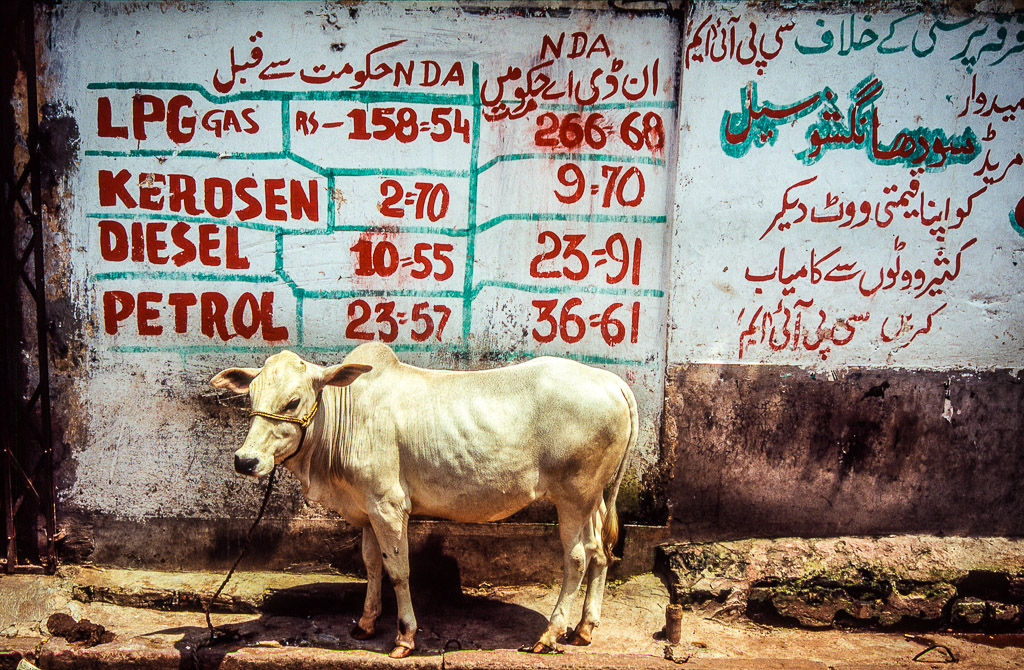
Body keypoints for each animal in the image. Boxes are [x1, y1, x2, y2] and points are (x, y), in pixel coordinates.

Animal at [210, 344, 634, 659]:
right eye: (251, 397)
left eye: (293, 401)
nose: (245, 460)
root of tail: (612, 381)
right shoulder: (366, 510)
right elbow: (372, 565)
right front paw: (365, 623)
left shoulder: (389, 505)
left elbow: (398, 571)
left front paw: (404, 637)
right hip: (594, 498)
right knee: (600, 553)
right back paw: (584, 629)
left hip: (574, 495)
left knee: (576, 558)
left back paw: (550, 634)